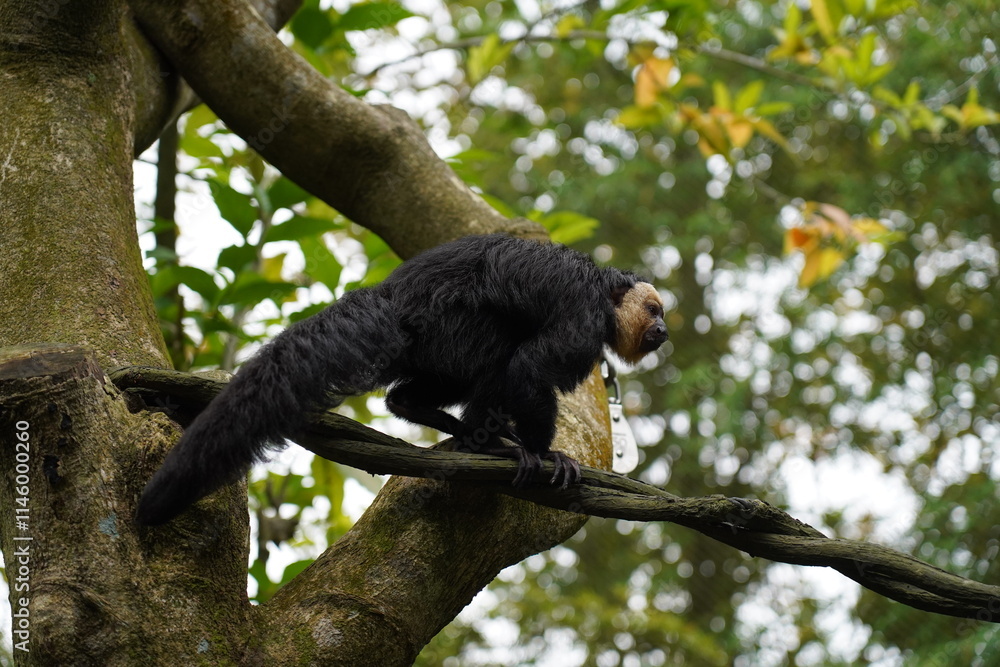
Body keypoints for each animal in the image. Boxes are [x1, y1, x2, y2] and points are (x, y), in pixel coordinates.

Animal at [136, 234, 668, 526]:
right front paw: (542, 453)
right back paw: (487, 443)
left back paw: (434, 418)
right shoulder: (581, 318)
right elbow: (528, 369)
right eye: (654, 310)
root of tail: (394, 296)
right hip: (449, 323)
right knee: (499, 354)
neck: (603, 296)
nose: (663, 330)